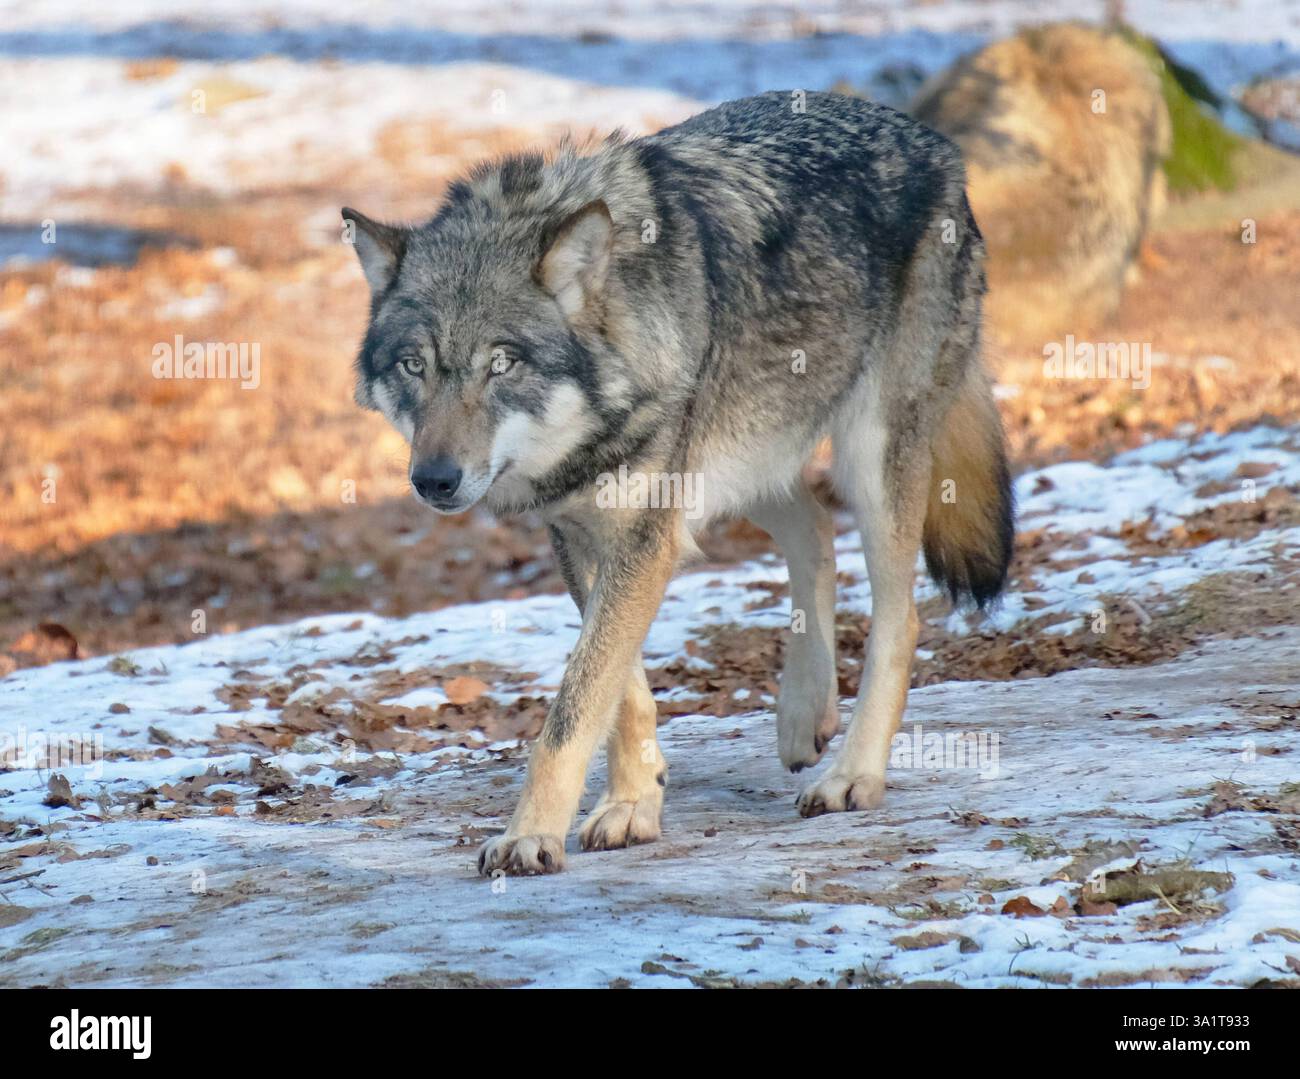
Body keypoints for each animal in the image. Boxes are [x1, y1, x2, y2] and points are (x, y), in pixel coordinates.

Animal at [343, 91, 1014, 877]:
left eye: (500, 364)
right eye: (414, 366)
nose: (434, 480)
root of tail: (933, 141)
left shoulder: (643, 537)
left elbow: (575, 705)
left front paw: (529, 835)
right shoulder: (584, 534)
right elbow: (620, 693)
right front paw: (634, 805)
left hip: (865, 455)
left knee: (898, 619)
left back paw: (853, 773)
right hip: (746, 449)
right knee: (814, 527)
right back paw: (804, 712)